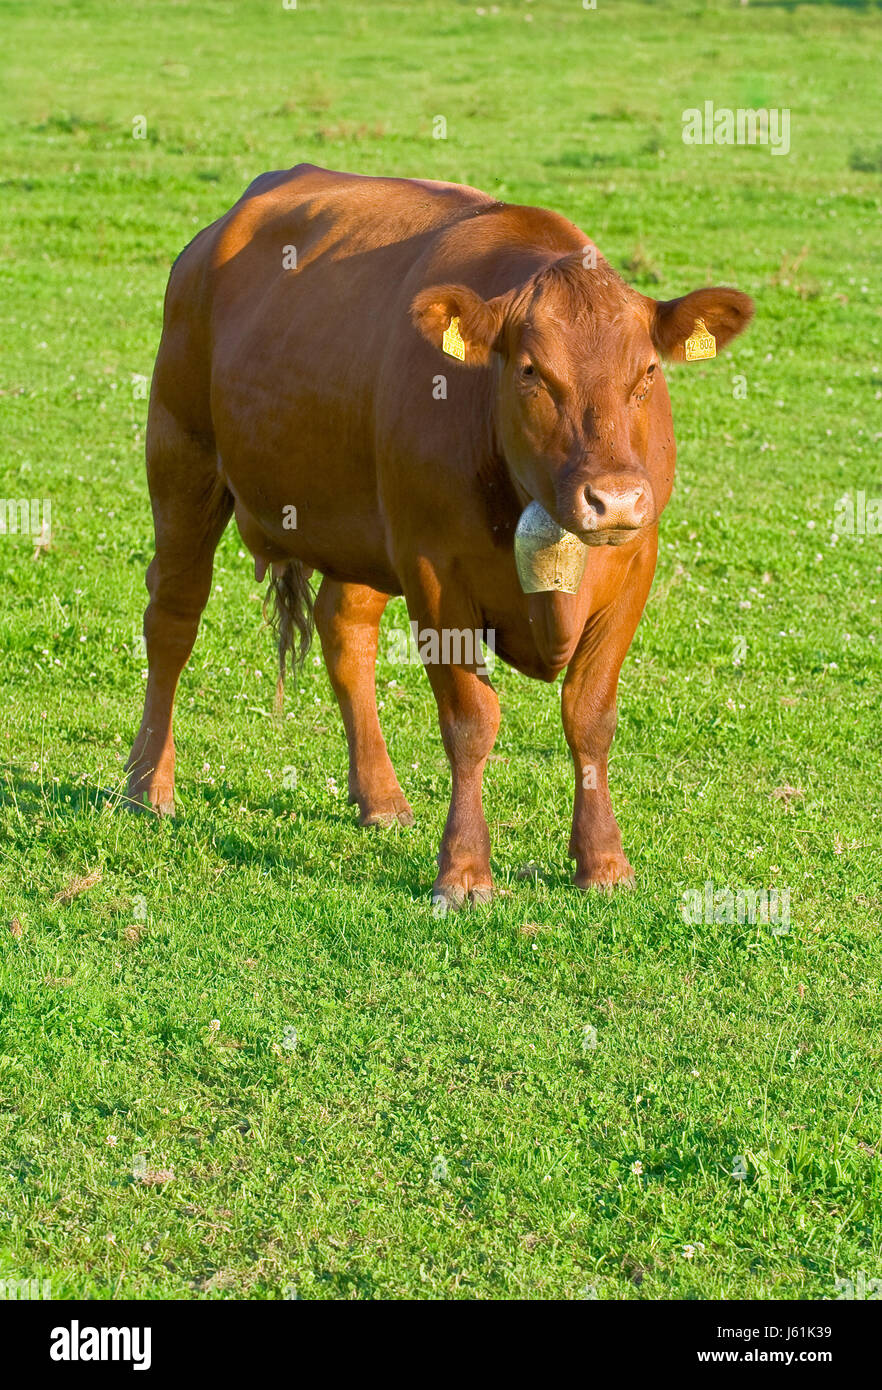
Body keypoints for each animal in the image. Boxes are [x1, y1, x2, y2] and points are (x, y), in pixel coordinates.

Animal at [127, 164, 753, 909]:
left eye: (649, 372)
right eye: (531, 371)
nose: (614, 499)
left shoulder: (634, 567)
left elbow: (590, 716)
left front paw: (603, 863)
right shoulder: (433, 571)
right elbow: (470, 720)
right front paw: (464, 872)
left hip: (359, 526)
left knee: (345, 633)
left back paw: (380, 798)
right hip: (181, 456)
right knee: (173, 618)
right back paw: (147, 786)